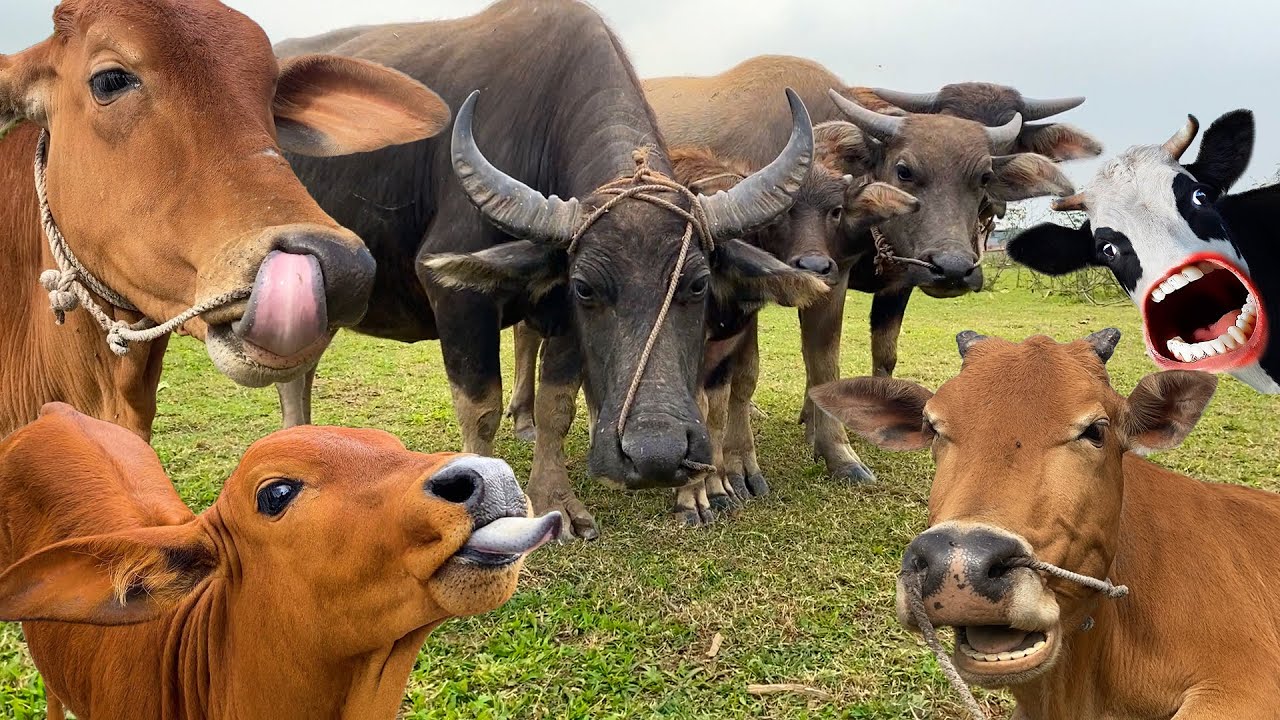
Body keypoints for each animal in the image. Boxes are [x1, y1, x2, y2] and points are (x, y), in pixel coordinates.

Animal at [271, 0, 819, 540]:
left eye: (699, 283)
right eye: (586, 287)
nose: (657, 454)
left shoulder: (562, 321)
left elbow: (557, 407)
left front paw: (558, 502)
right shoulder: (459, 299)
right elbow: (480, 407)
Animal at [643, 55, 1100, 483]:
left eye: (985, 174)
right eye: (904, 170)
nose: (954, 267)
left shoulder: (871, 281)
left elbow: (840, 362)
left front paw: (837, 446)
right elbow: (745, 373)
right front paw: (739, 464)